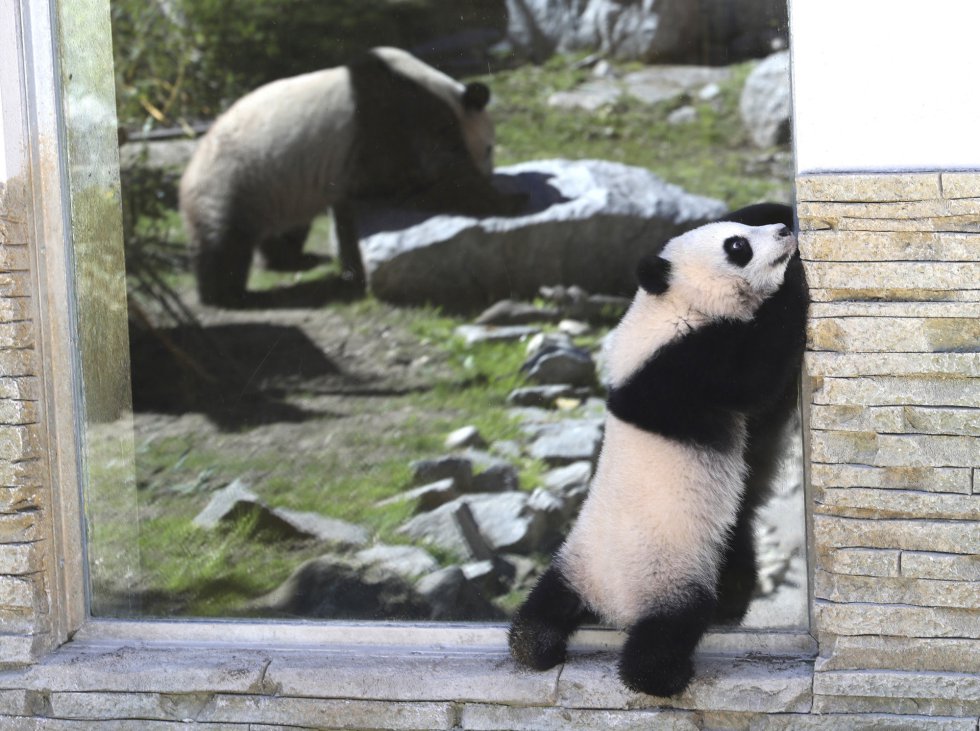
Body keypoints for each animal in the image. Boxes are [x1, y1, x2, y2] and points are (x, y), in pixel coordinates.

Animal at [179, 47, 524, 307]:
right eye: (490, 148)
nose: (490, 173)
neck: (440, 92)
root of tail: (188, 171)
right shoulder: (397, 117)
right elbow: (433, 174)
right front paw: (508, 200)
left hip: (279, 186)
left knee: (286, 228)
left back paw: (293, 260)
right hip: (231, 180)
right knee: (224, 240)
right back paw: (224, 295)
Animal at [508, 216, 808, 697]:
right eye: (737, 245)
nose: (783, 230)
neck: (669, 304)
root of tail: (608, 602)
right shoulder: (681, 366)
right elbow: (756, 377)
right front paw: (793, 278)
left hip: (576, 559)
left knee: (546, 601)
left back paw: (532, 646)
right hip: (670, 573)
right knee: (670, 628)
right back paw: (662, 676)